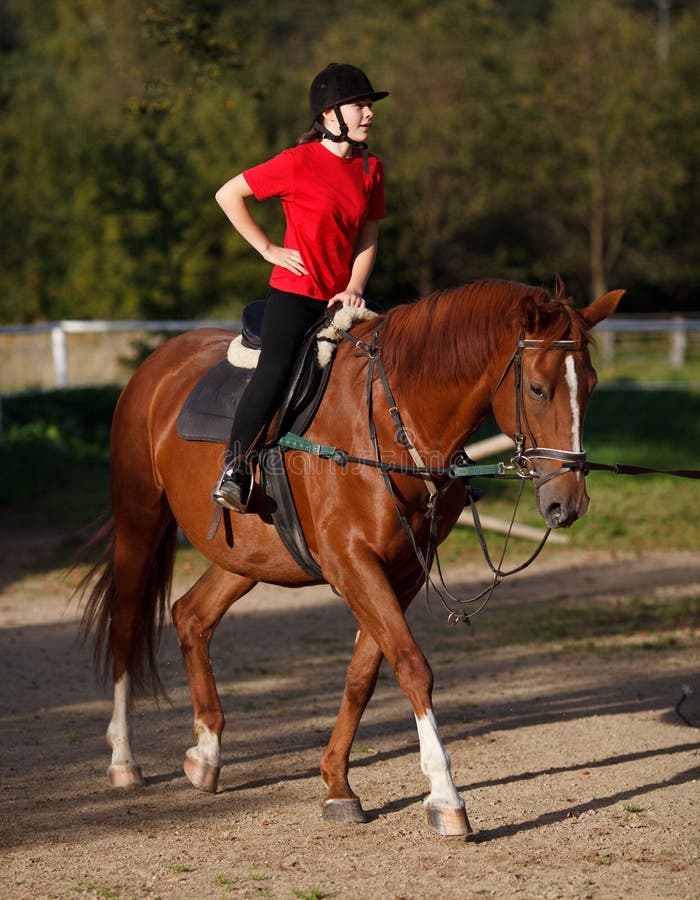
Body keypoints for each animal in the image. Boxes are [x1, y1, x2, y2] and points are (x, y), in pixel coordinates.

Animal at [78, 278, 622, 837]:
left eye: (593, 385)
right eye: (537, 389)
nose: (568, 503)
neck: (391, 423)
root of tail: (158, 364)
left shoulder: (403, 572)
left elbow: (364, 674)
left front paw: (337, 783)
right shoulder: (352, 564)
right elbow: (411, 665)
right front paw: (445, 796)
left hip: (249, 557)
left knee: (192, 616)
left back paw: (206, 753)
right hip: (140, 520)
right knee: (125, 626)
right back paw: (124, 758)